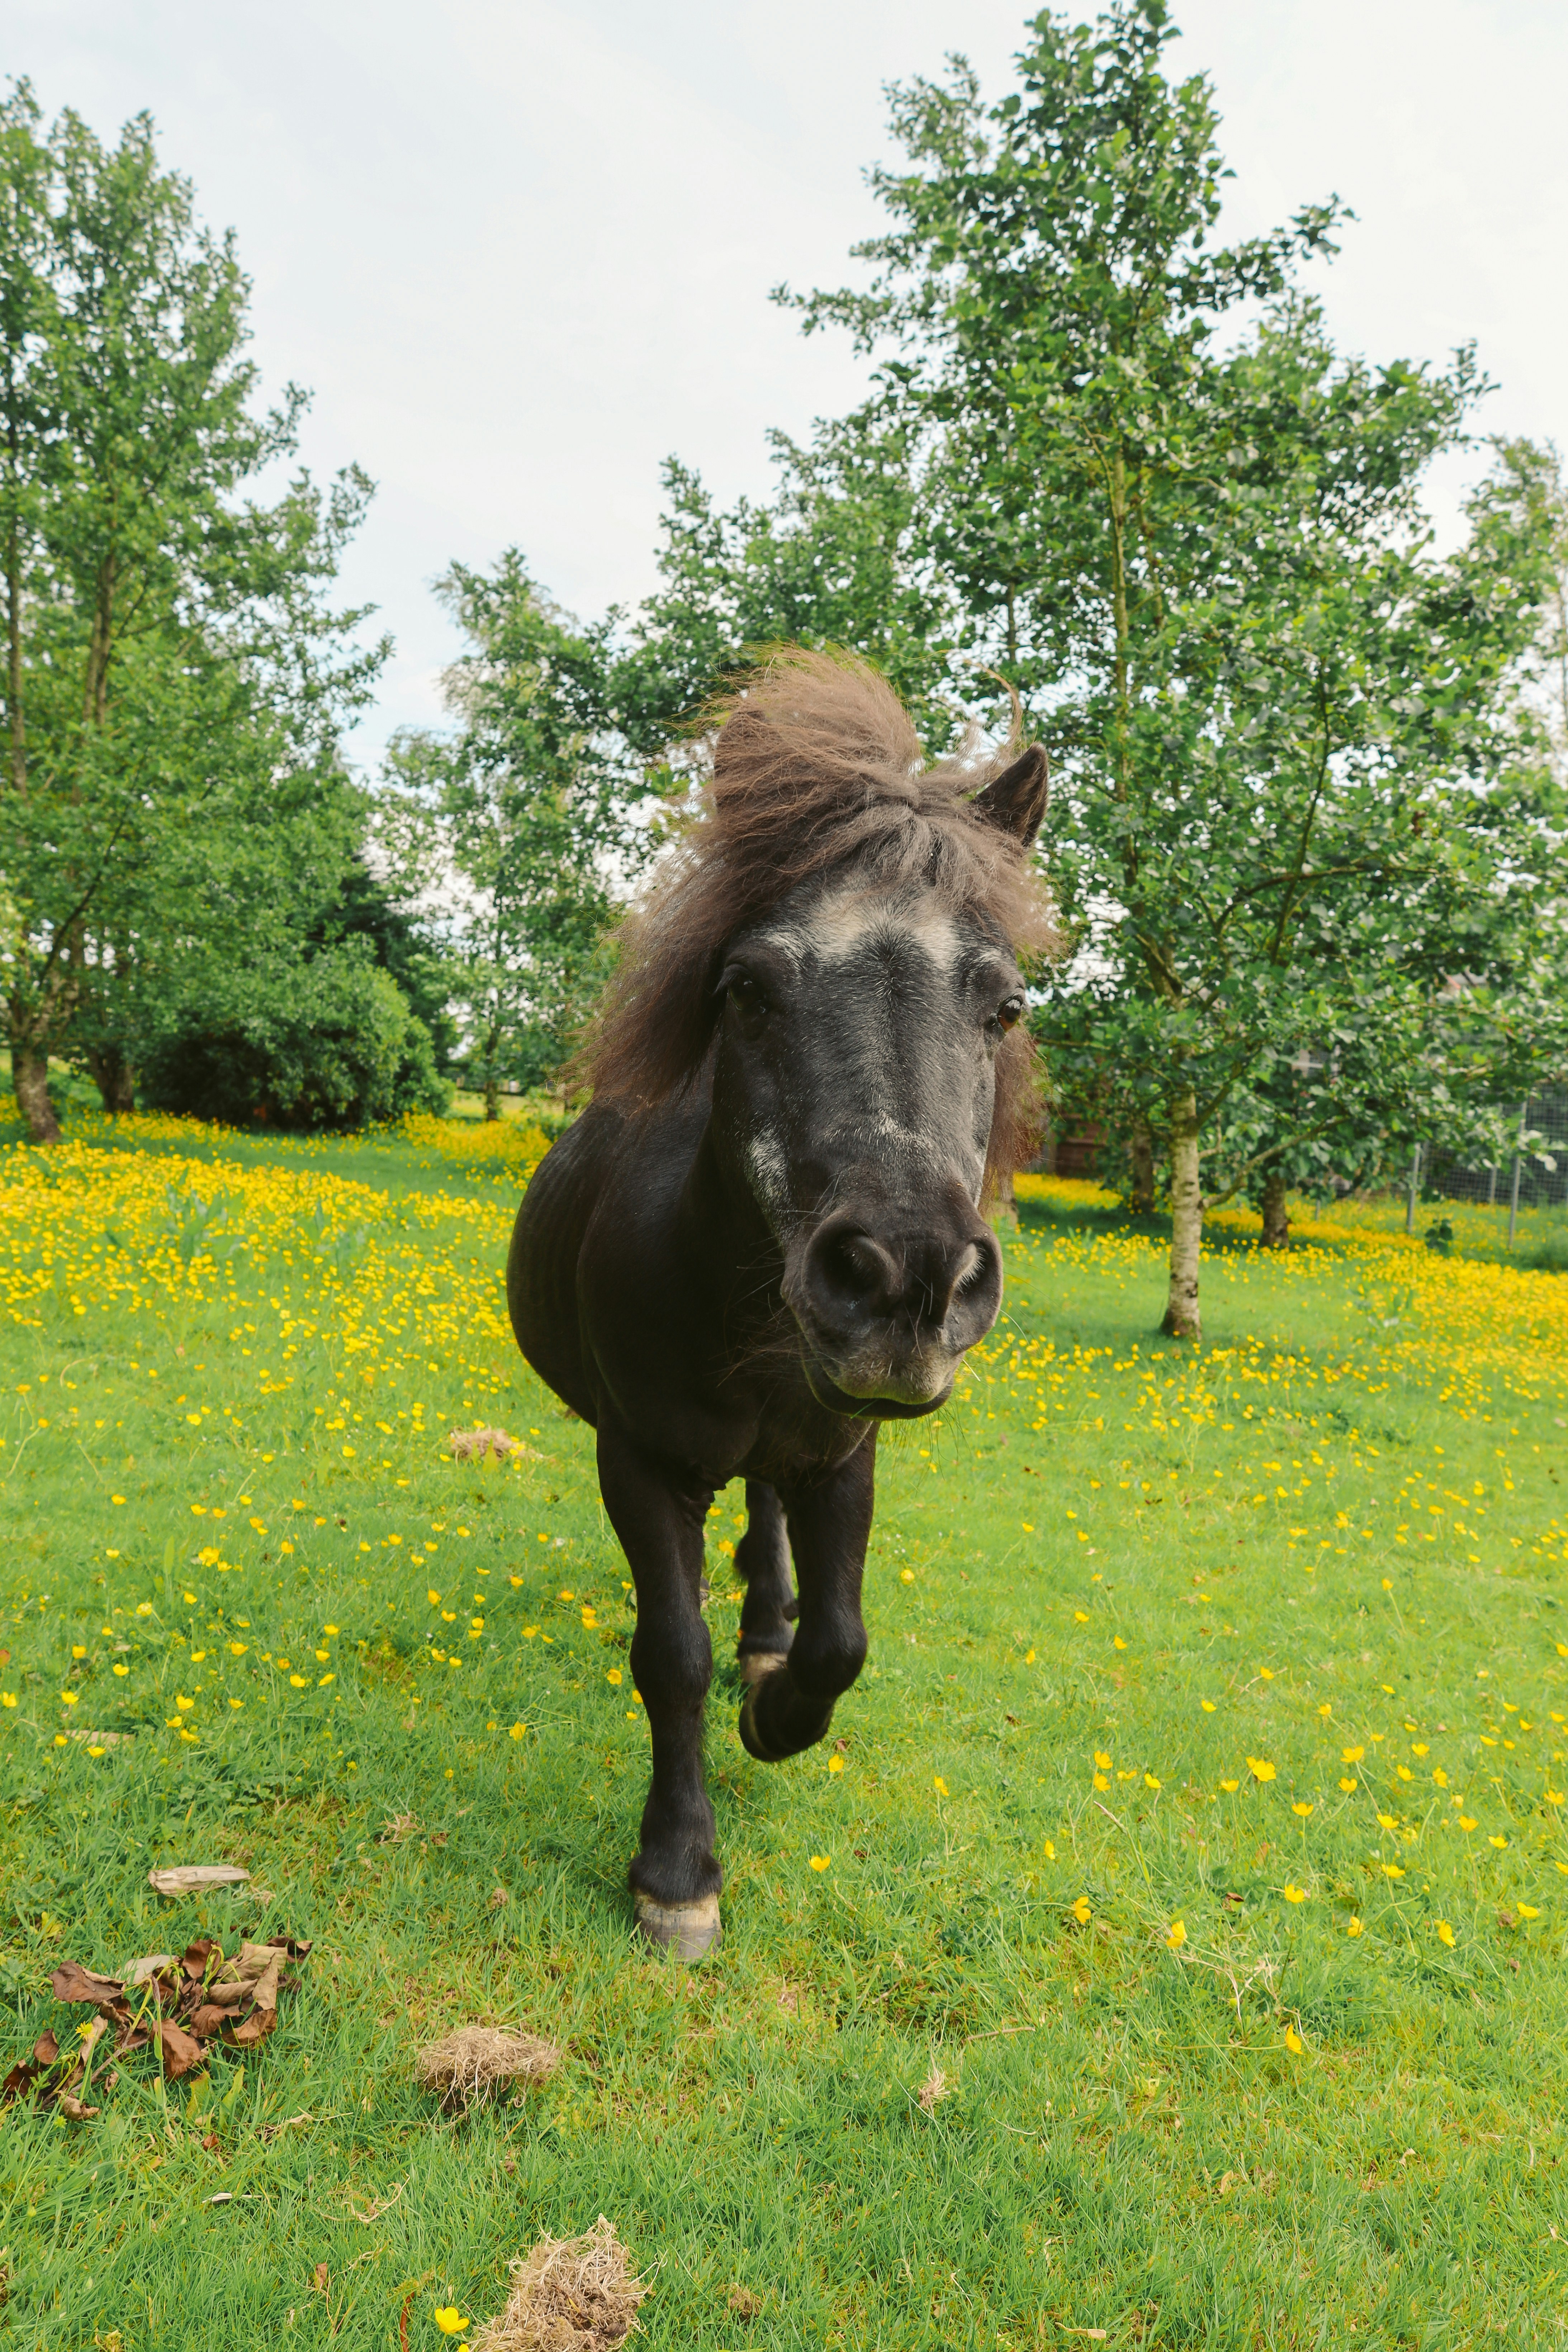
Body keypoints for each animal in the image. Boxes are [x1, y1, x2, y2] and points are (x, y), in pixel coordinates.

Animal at [506, 648, 1055, 1959]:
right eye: (747, 986)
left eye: (1006, 1005)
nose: (905, 1279)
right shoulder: (637, 1458)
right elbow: (671, 1651)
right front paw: (676, 1869)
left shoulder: (845, 1448)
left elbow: (840, 1635)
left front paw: (778, 1711)